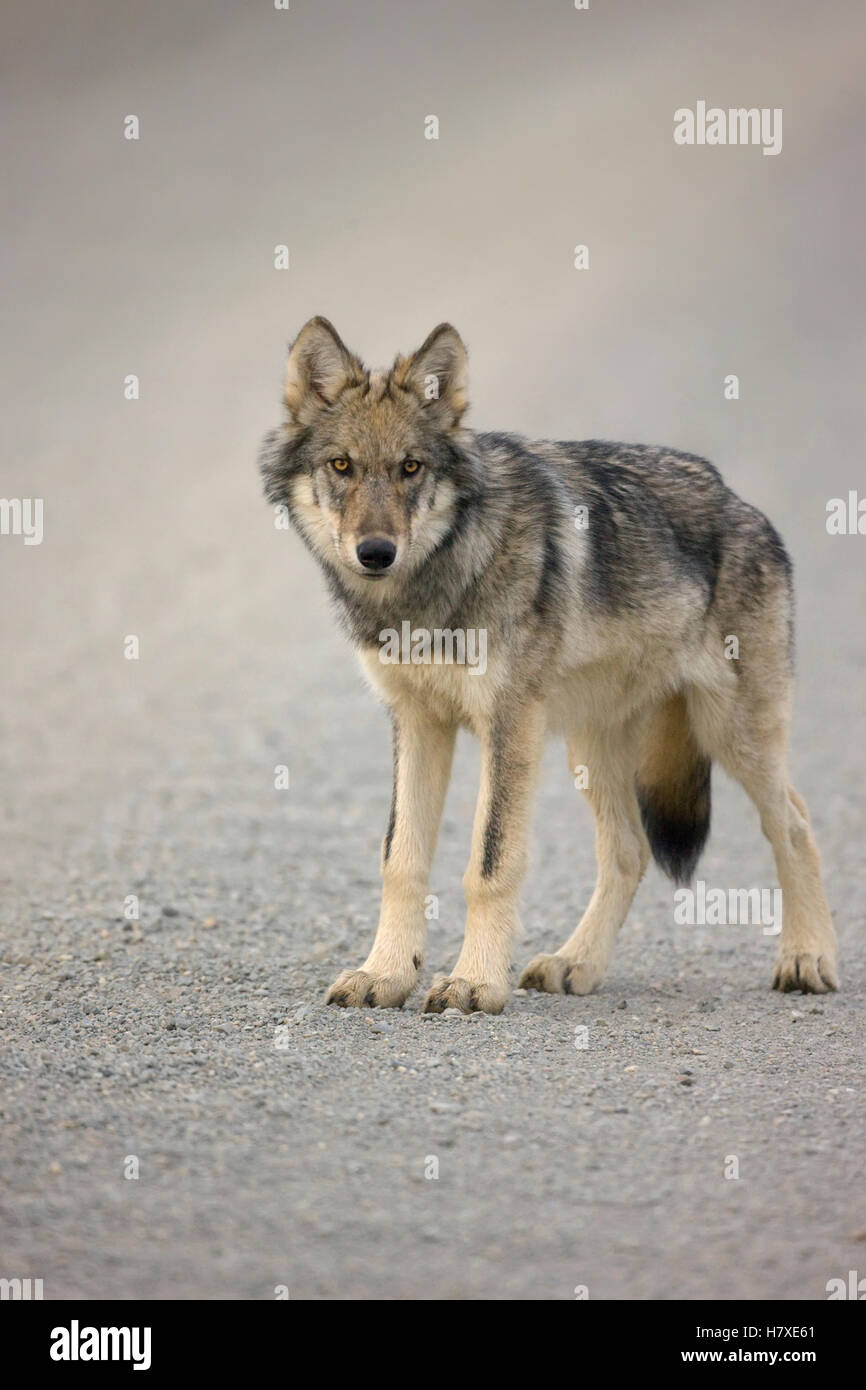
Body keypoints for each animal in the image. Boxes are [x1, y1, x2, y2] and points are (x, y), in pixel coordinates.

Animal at [258, 317, 838, 1013]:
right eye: (341, 465)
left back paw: (807, 958)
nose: (376, 552)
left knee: (795, 824)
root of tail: (741, 502)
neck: (433, 584)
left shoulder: (509, 724)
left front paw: (474, 982)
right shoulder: (418, 722)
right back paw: (575, 963)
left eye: (410, 468)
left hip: (732, 734)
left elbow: (489, 863)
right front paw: (387, 974)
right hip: (590, 748)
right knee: (629, 852)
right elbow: (400, 858)